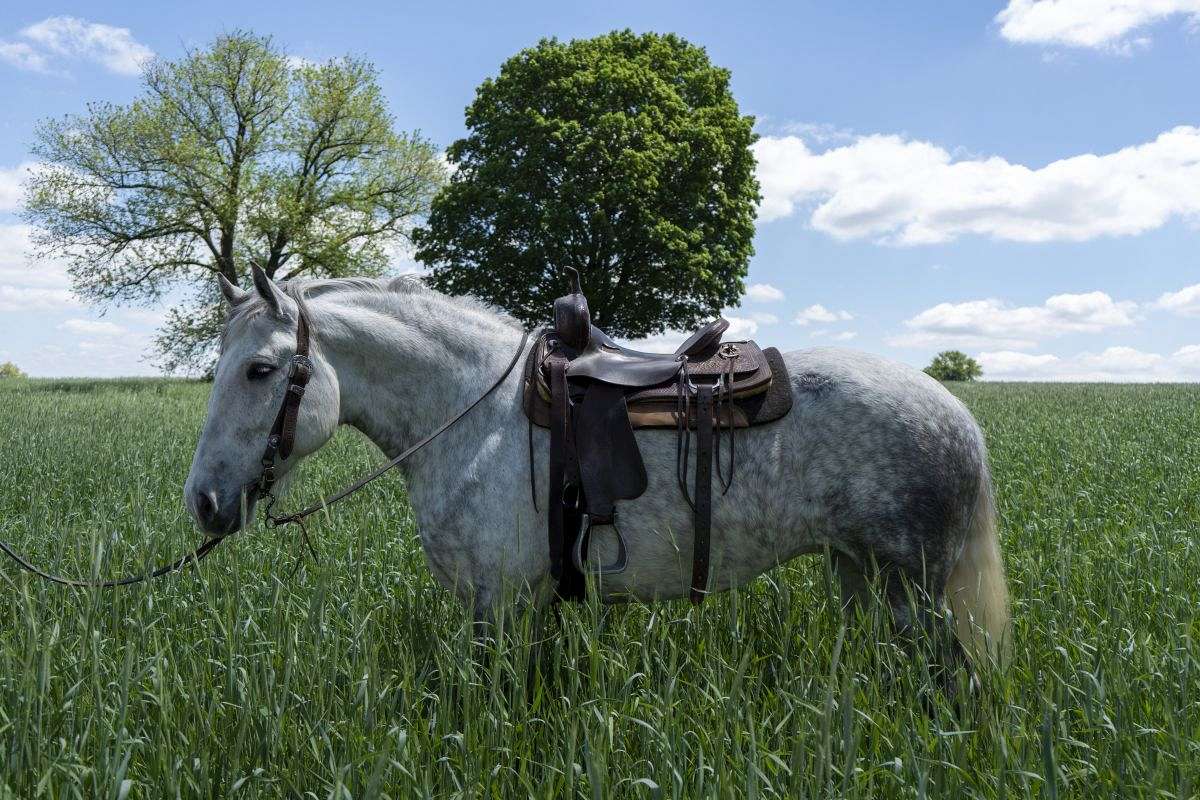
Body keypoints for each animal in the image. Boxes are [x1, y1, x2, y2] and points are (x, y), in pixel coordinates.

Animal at [185, 269, 1010, 671]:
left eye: (260, 370)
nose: (204, 502)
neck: (473, 411)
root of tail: (954, 413)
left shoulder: (498, 604)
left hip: (912, 588)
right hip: (861, 576)